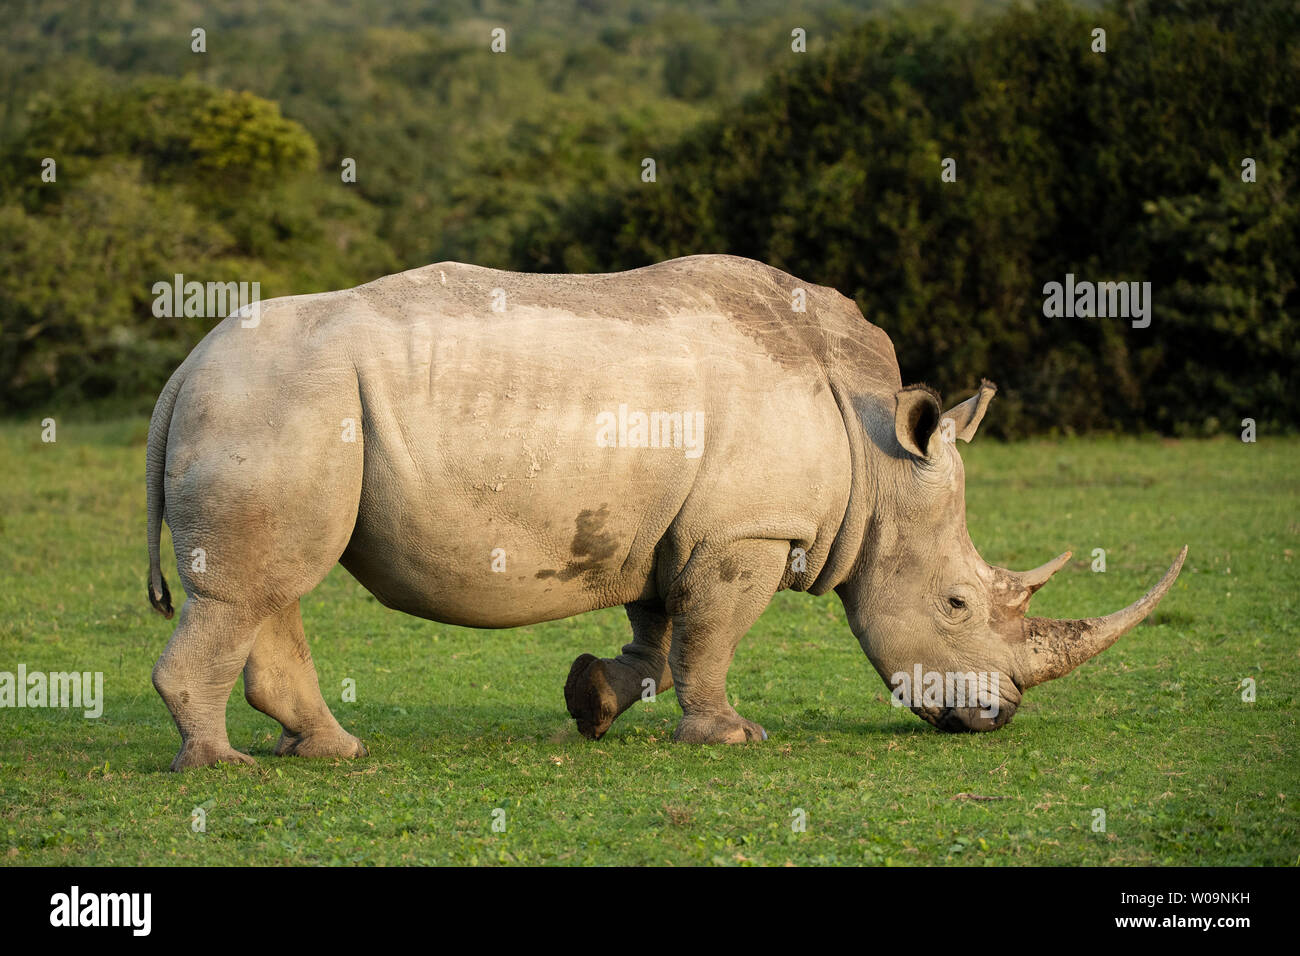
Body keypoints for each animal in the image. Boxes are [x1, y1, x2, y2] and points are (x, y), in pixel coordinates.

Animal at [146, 254, 1186, 769]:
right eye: (960, 605)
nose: (997, 718)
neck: (877, 456)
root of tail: (183, 371)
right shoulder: (748, 527)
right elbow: (713, 634)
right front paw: (730, 739)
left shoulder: (667, 524)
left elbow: (658, 634)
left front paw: (592, 701)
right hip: (279, 403)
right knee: (255, 587)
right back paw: (222, 766)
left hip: (288, 409)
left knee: (273, 583)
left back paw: (327, 750)